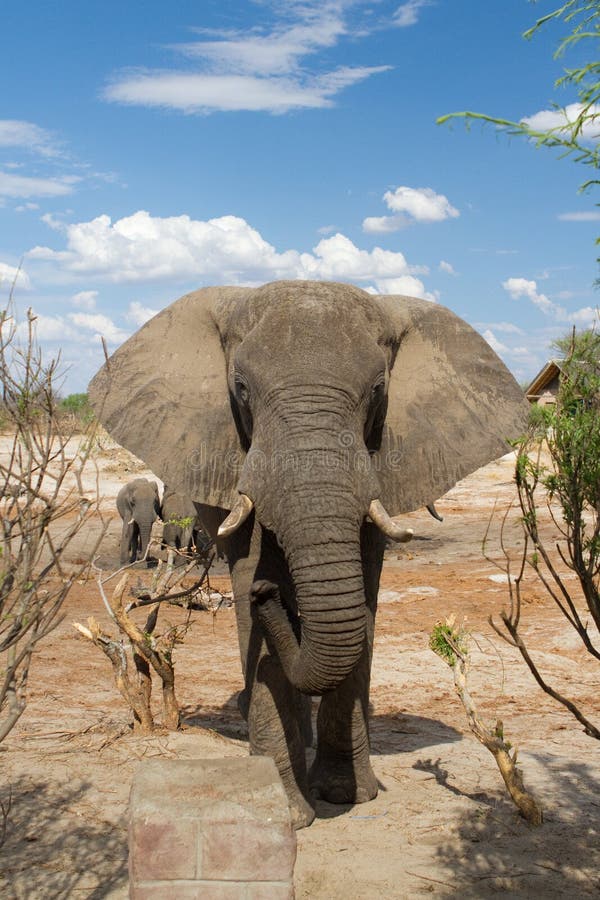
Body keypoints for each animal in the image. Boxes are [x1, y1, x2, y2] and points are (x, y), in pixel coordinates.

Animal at [90, 279, 528, 828]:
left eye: (379, 390)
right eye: (240, 389)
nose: (266, 595)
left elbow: (362, 600)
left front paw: (343, 794)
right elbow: (251, 572)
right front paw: (289, 811)